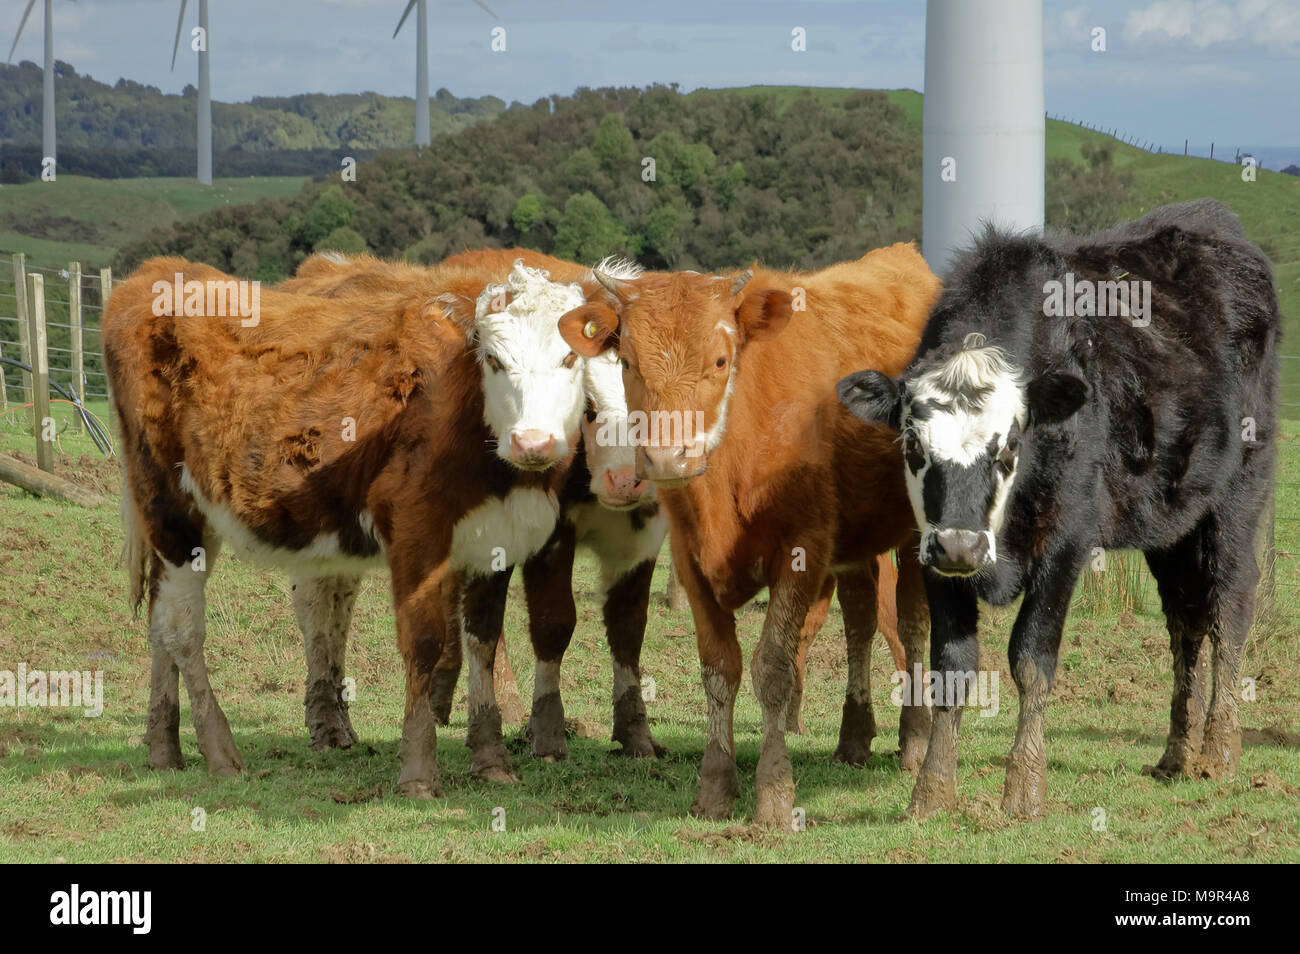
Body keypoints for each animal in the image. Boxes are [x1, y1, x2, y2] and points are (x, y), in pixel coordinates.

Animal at [105, 255, 597, 794]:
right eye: (494, 359)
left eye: (570, 360)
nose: (533, 442)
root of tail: (156, 273)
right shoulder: (415, 532)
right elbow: (425, 642)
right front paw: (418, 772)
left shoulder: (498, 540)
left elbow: (483, 644)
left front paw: (491, 760)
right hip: (170, 512)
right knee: (182, 630)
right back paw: (220, 752)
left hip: (193, 521)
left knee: (160, 621)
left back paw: (164, 748)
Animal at [280, 249, 668, 762]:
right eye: (589, 401)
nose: (628, 480)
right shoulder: (547, 536)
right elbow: (553, 622)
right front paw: (546, 734)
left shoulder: (644, 538)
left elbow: (628, 629)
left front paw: (636, 734)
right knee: (319, 610)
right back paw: (329, 719)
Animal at [558, 242, 942, 825]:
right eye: (626, 361)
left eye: (720, 360)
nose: (668, 457)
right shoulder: (689, 559)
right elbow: (720, 667)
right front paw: (715, 788)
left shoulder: (802, 549)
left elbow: (774, 667)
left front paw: (774, 795)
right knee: (861, 619)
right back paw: (854, 739)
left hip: (914, 534)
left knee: (913, 625)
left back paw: (915, 742)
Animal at [837, 199, 1279, 819]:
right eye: (913, 446)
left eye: (1008, 447)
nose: (962, 545)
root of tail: (1212, 225)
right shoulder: (932, 555)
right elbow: (953, 666)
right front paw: (932, 789)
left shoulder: (1066, 544)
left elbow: (1031, 659)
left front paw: (1024, 788)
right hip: (1171, 525)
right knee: (1184, 622)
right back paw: (1176, 753)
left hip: (1238, 498)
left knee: (1228, 607)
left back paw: (1219, 750)